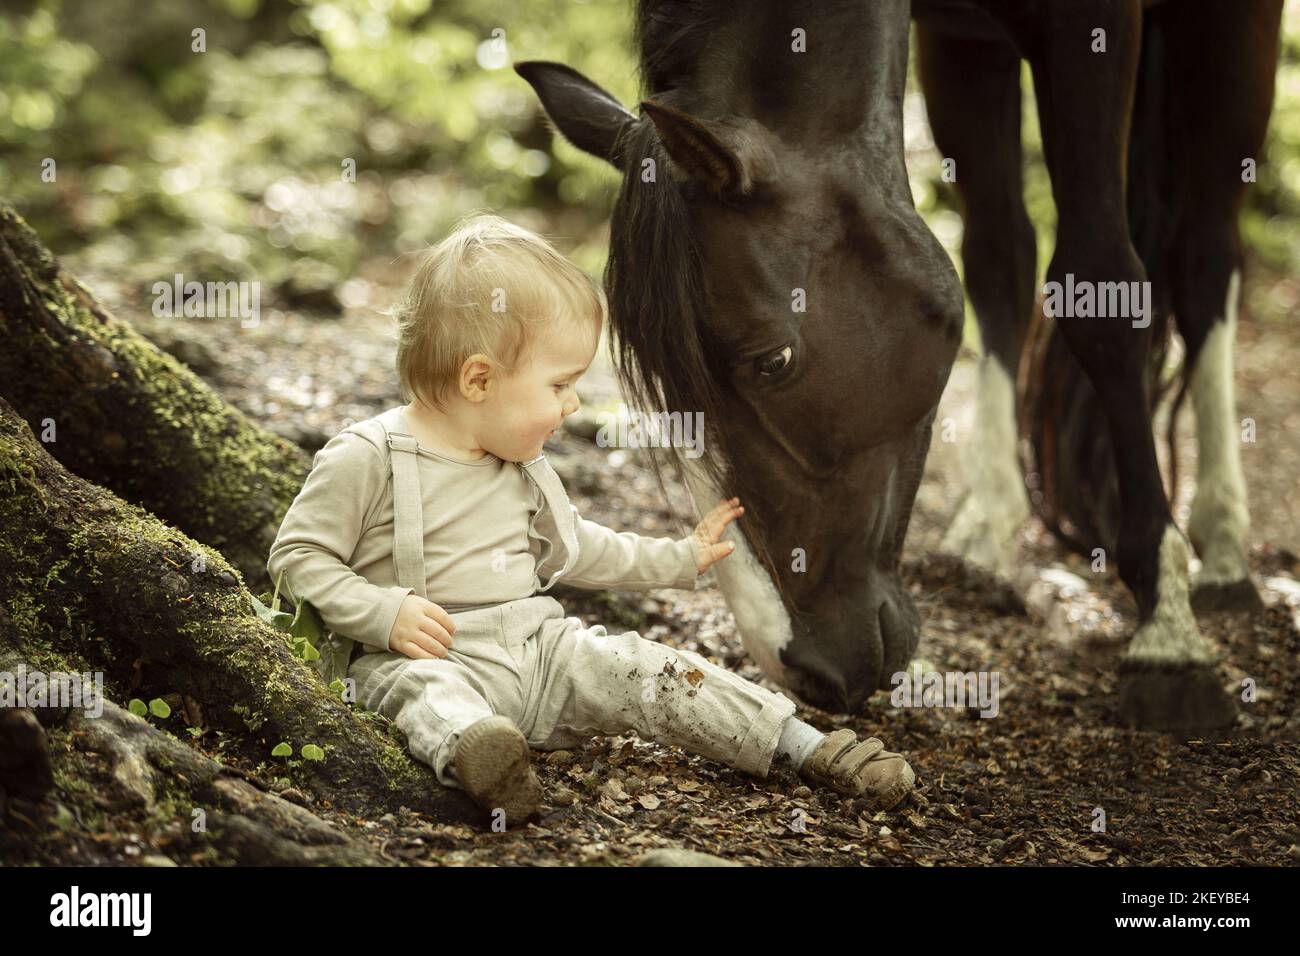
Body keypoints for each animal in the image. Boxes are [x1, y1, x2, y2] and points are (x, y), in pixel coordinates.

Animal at [515, 0, 1284, 730]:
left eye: (773, 361)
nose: (803, 668)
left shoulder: (1094, 28)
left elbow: (1103, 291)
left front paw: (1168, 635)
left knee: (1204, 256)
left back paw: (1221, 547)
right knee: (1001, 253)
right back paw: (987, 528)